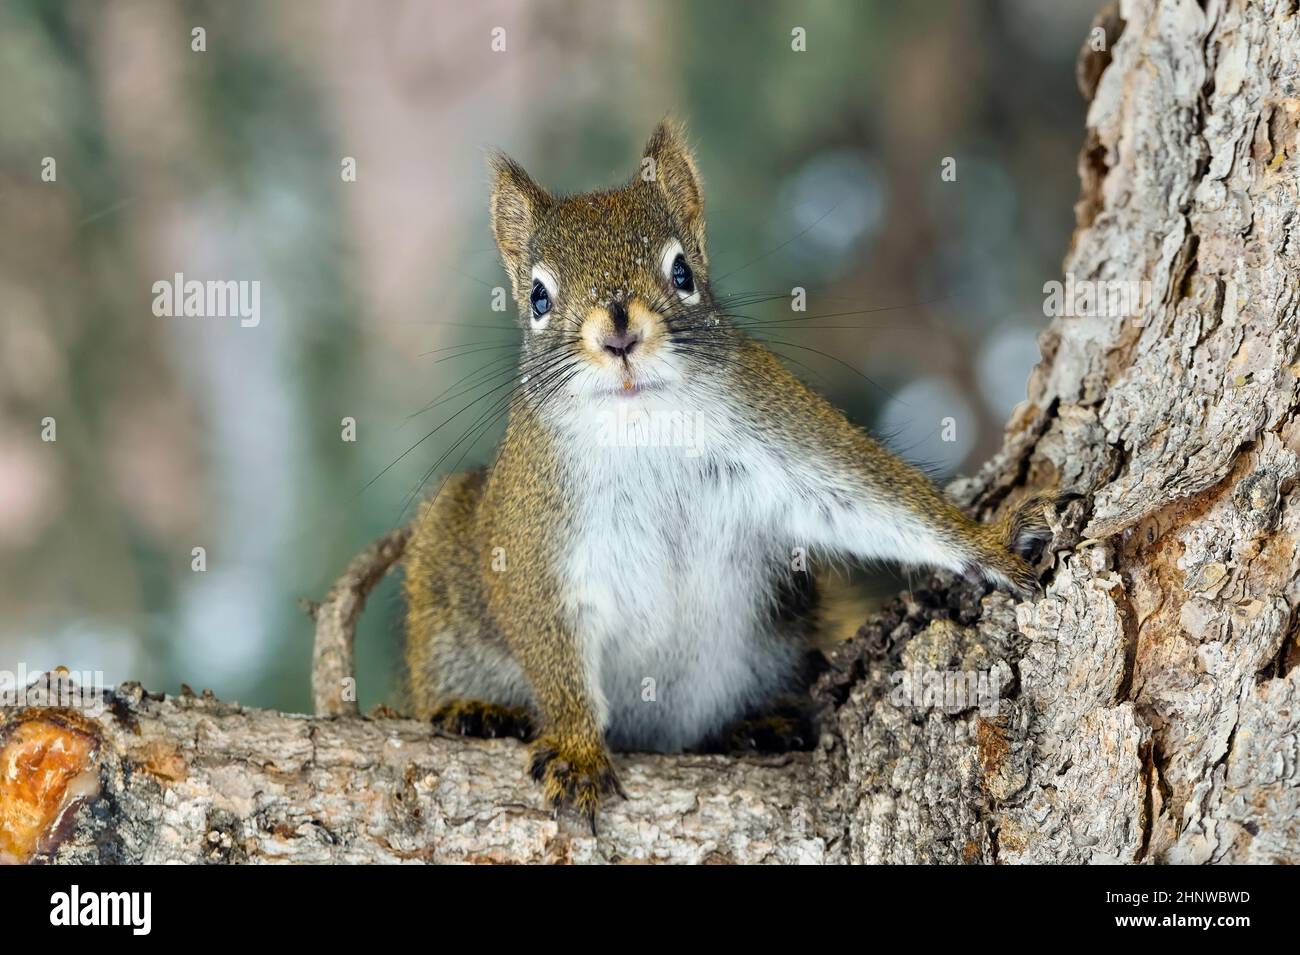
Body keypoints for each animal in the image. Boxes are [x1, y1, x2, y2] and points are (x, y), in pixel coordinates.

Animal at [401, 119, 1054, 827]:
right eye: (539, 298)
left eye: (683, 272)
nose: (618, 335)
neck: (646, 426)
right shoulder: (532, 534)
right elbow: (547, 638)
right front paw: (576, 747)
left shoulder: (780, 431)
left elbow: (868, 500)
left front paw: (989, 544)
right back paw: (474, 709)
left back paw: (757, 725)